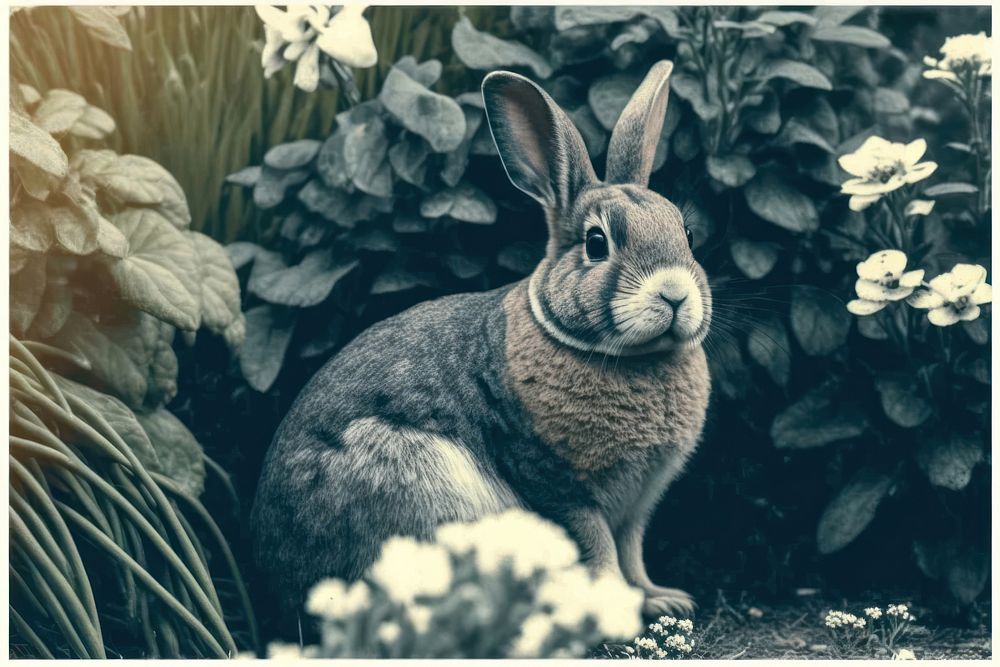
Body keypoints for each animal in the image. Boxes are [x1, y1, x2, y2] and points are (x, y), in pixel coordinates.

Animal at [251, 59, 712, 621]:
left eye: (687, 235)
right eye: (596, 243)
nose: (675, 294)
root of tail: (279, 586)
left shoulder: (636, 506)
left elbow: (632, 553)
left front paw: (662, 600)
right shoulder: (559, 487)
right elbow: (599, 550)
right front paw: (615, 612)